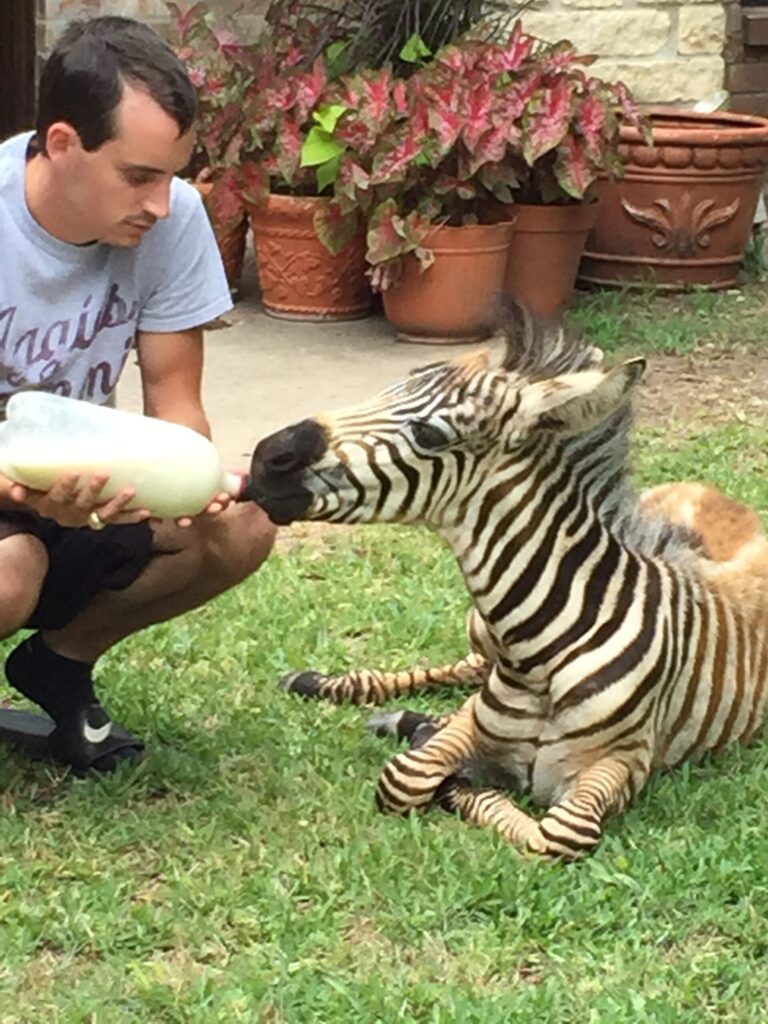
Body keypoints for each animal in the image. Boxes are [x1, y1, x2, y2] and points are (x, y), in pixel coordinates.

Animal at [246, 306, 768, 859]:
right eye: (386, 390)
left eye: (429, 435)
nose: (266, 456)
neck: (536, 651)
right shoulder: (474, 720)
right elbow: (405, 777)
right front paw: (431, 748)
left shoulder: (624, 761)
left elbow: (555, 832)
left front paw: (436, 753)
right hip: (476, 628)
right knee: (460, 668)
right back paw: (324, 684)